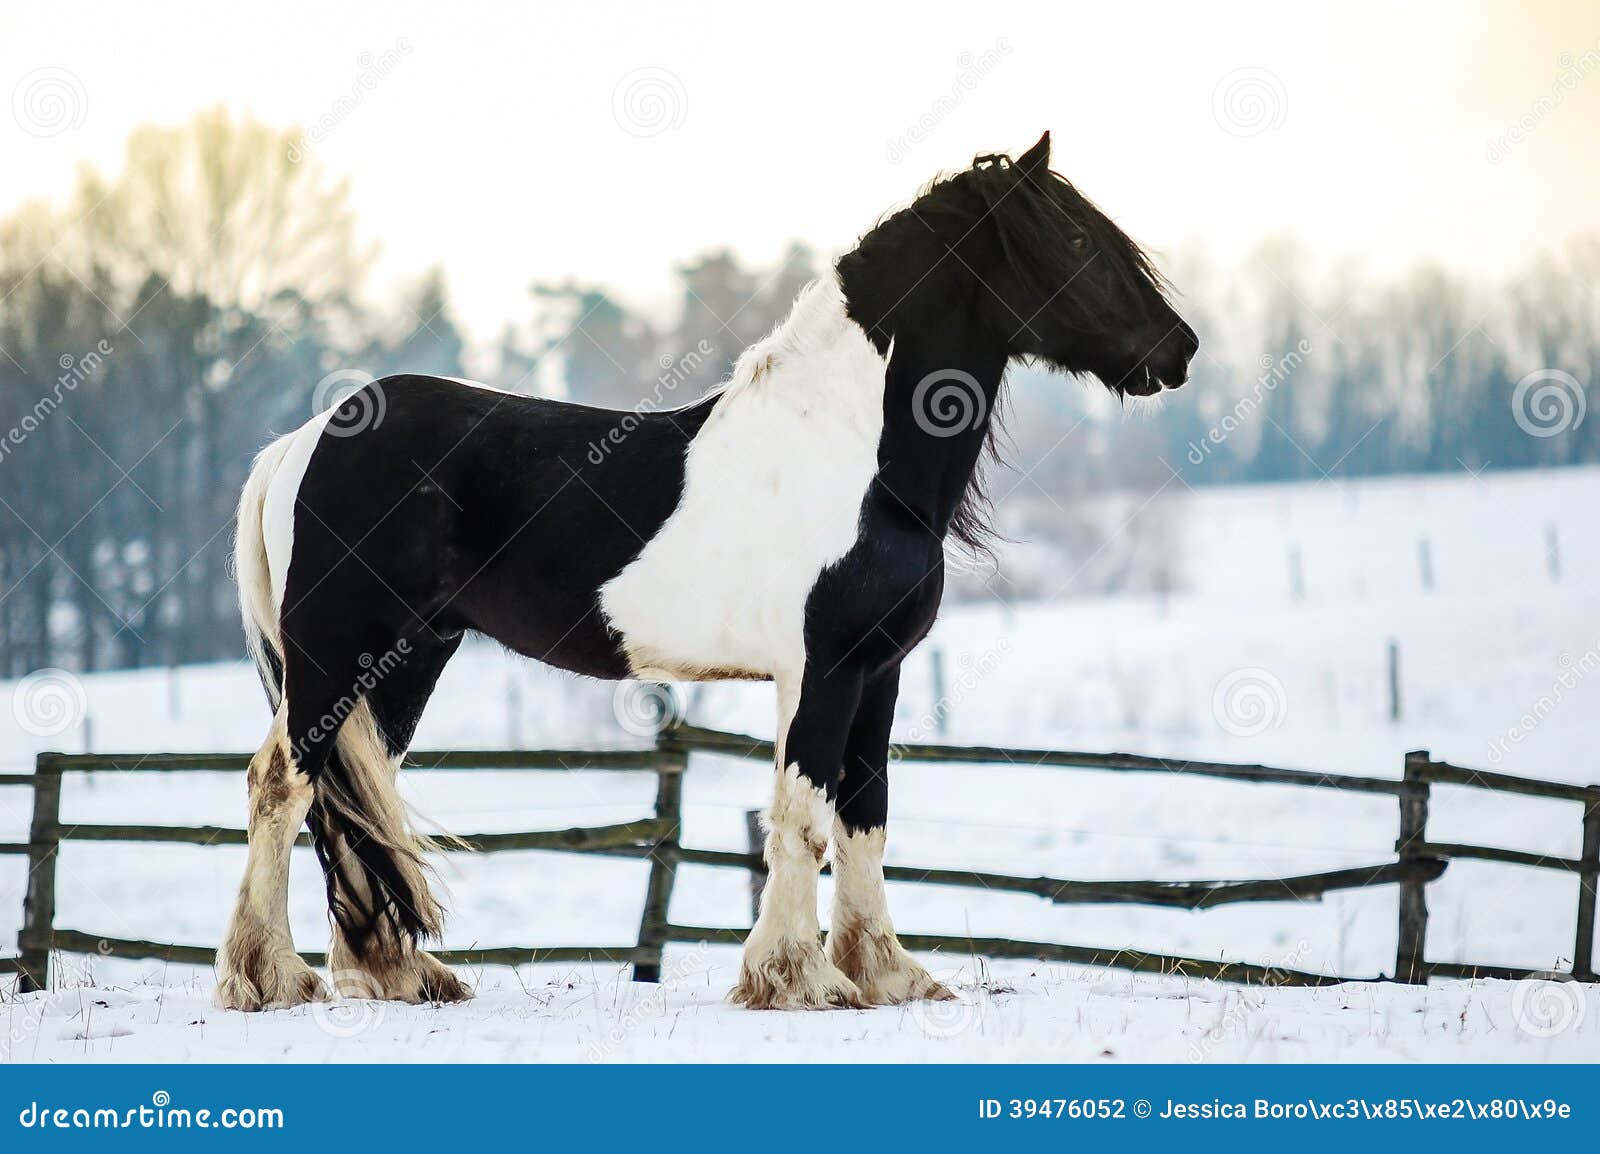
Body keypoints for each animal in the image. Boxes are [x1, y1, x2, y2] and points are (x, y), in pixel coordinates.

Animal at [215, 131, 1197, 1013]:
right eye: (1074, 240)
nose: (1179, 350)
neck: (847, 447)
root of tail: (304, 440)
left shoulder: (880, 672)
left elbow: (865, 820)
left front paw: (889, 977)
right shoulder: (821, 670)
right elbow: (803, 818)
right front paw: (797, 980)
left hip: (407, 657)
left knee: (355, 794)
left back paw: (400, 976)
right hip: (336, 652)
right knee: (284, 784)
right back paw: (270, 981)